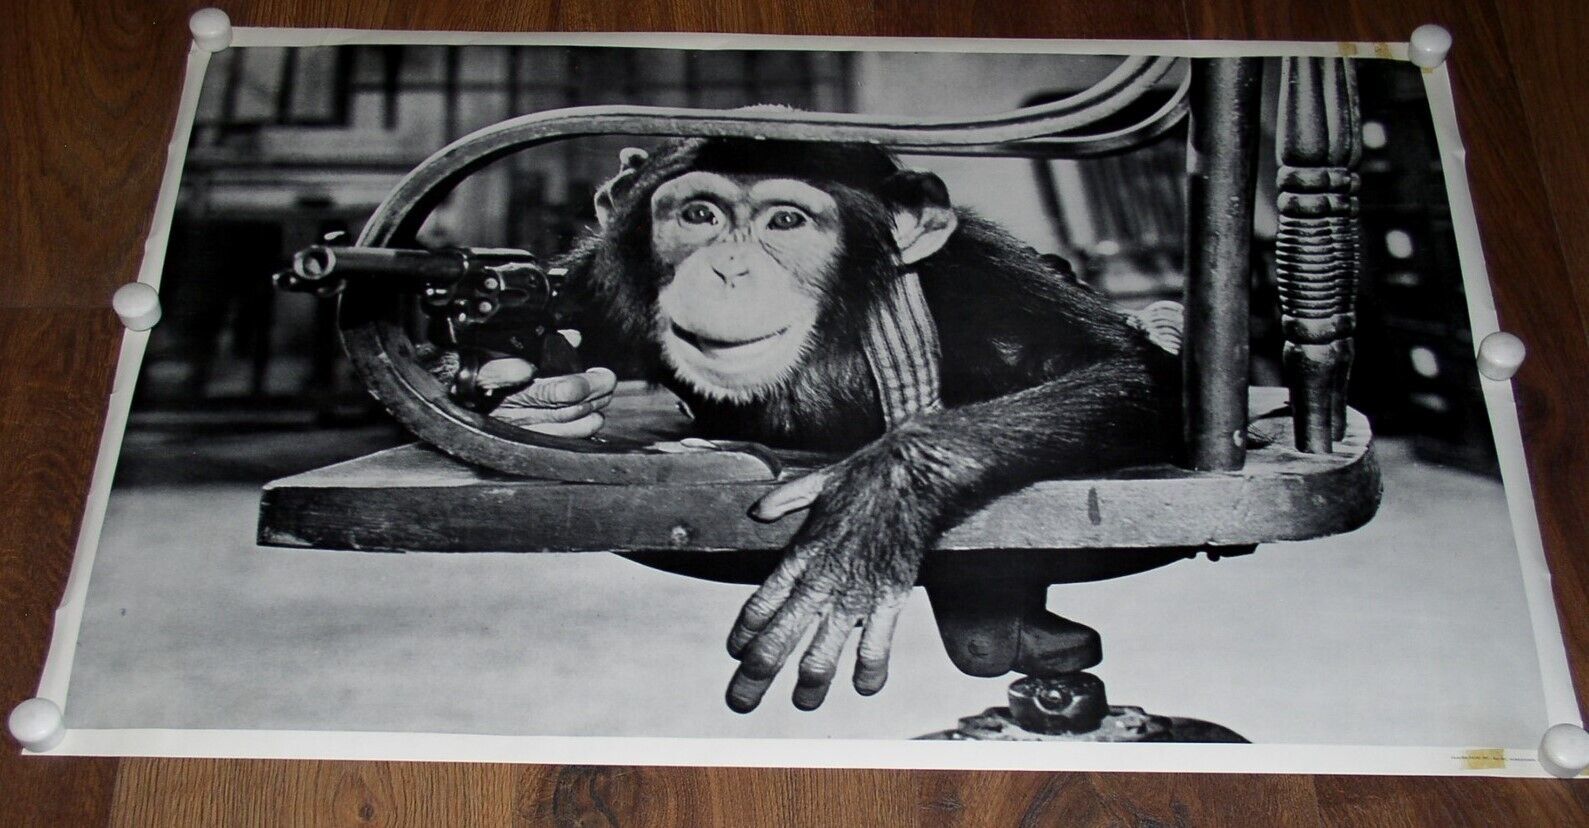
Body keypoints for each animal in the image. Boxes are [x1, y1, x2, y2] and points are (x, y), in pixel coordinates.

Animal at [477, 137, 1182, 713]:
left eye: (785, 221)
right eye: (700, 215)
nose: (729, 270)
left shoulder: (981, 276)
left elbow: (1130, 371)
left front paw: (871, 511)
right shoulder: (595, 285)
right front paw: (533, 397)